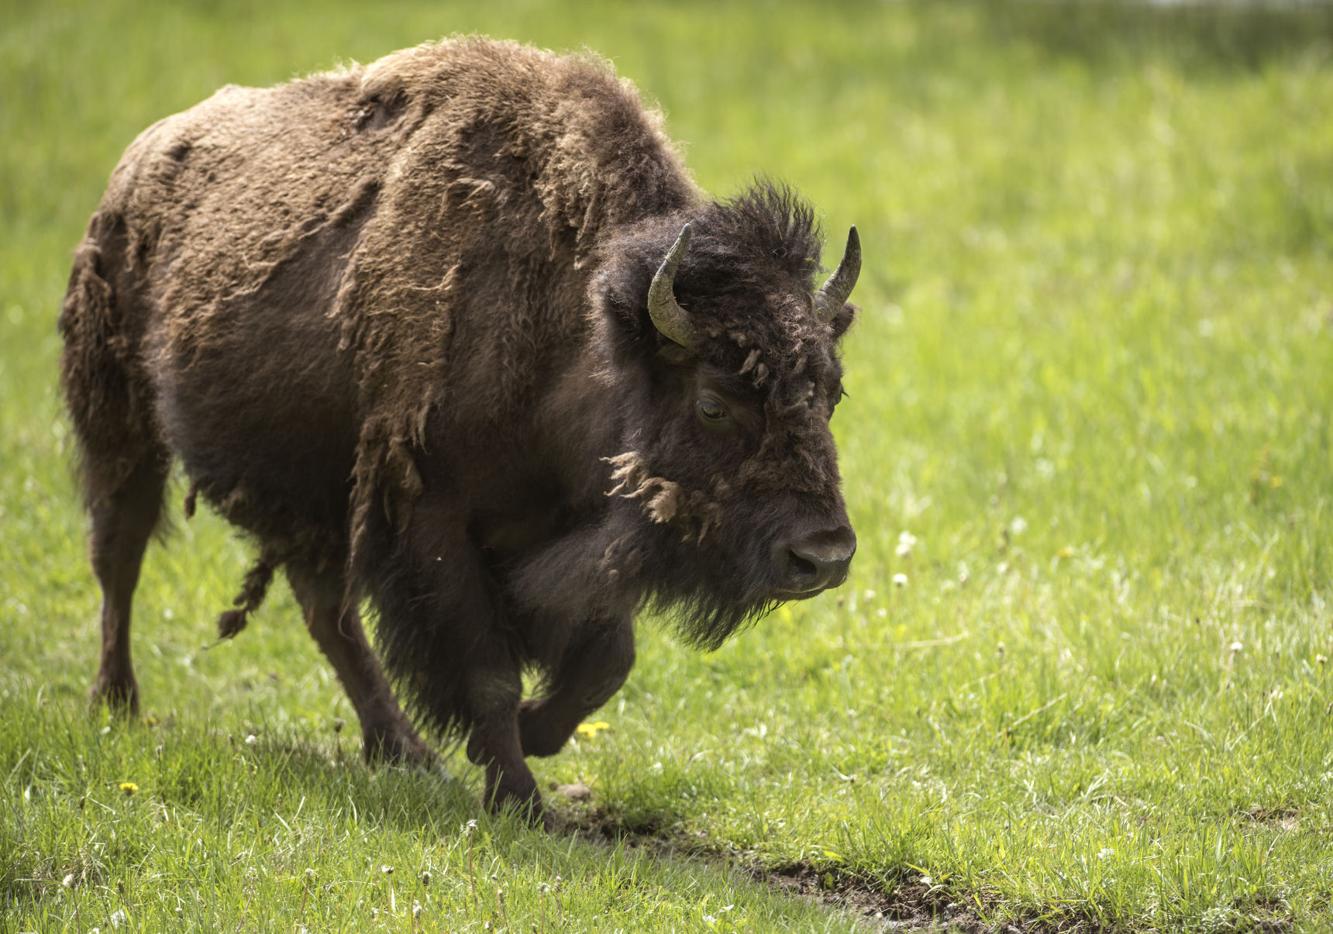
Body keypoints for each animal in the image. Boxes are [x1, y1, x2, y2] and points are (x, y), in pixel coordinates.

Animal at [59, 38, 861, 820]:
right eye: (713, 403)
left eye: (830, 392)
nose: (822, 556)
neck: (576, 335)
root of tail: (134, 168)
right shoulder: (434, 525)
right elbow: (489, 673)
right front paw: (518, 797)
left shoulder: (583, 533)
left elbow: (607, 658)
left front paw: (531, 739)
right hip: (122, 431)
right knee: (120, 558)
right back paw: (116, 705)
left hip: (316, 500)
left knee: (326, 611)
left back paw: (402, 749)